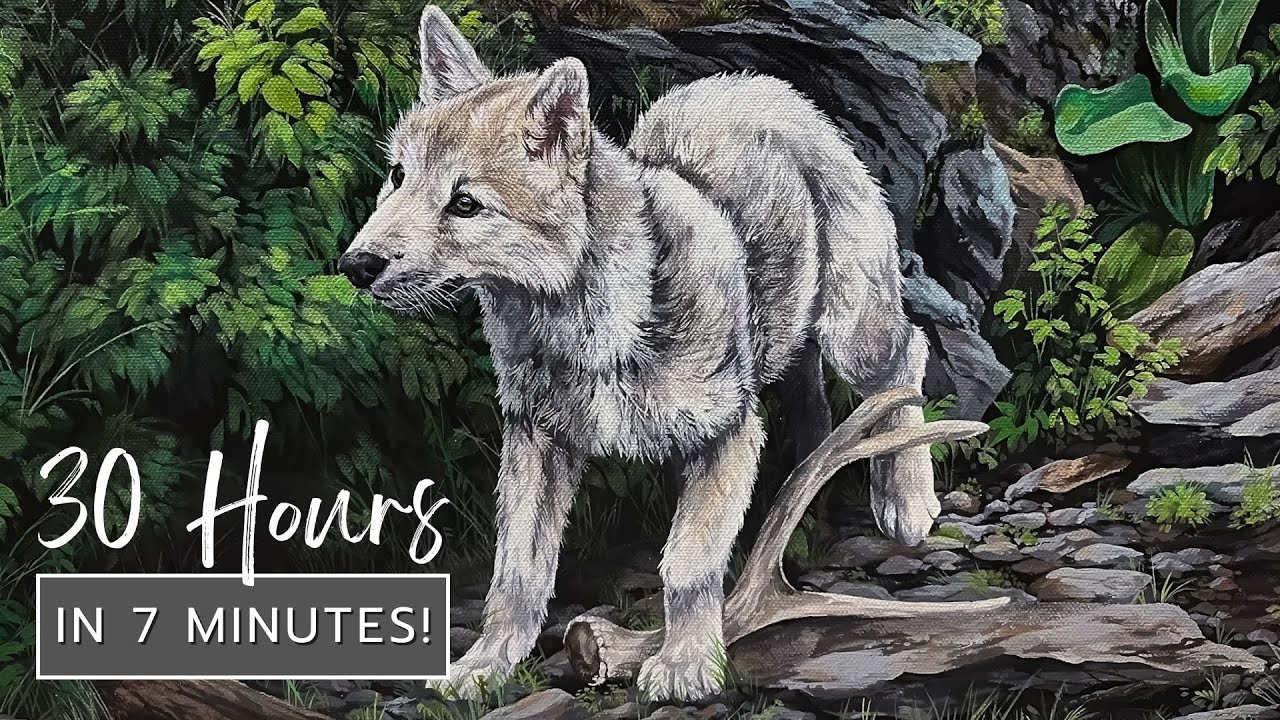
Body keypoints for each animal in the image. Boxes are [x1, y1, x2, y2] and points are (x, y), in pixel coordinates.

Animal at [340, 6, 938, 701]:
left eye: (465, 203)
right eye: (398, 177)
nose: (356, 265)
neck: (589, 328)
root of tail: (762, 88)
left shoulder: (729, 432)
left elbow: (688, 563)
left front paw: (685, 664)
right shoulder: (537, 443)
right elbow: (517, 573)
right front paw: (485, 667)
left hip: (853, 332)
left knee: (907, 358)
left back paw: (907, 504)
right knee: (817, 408)